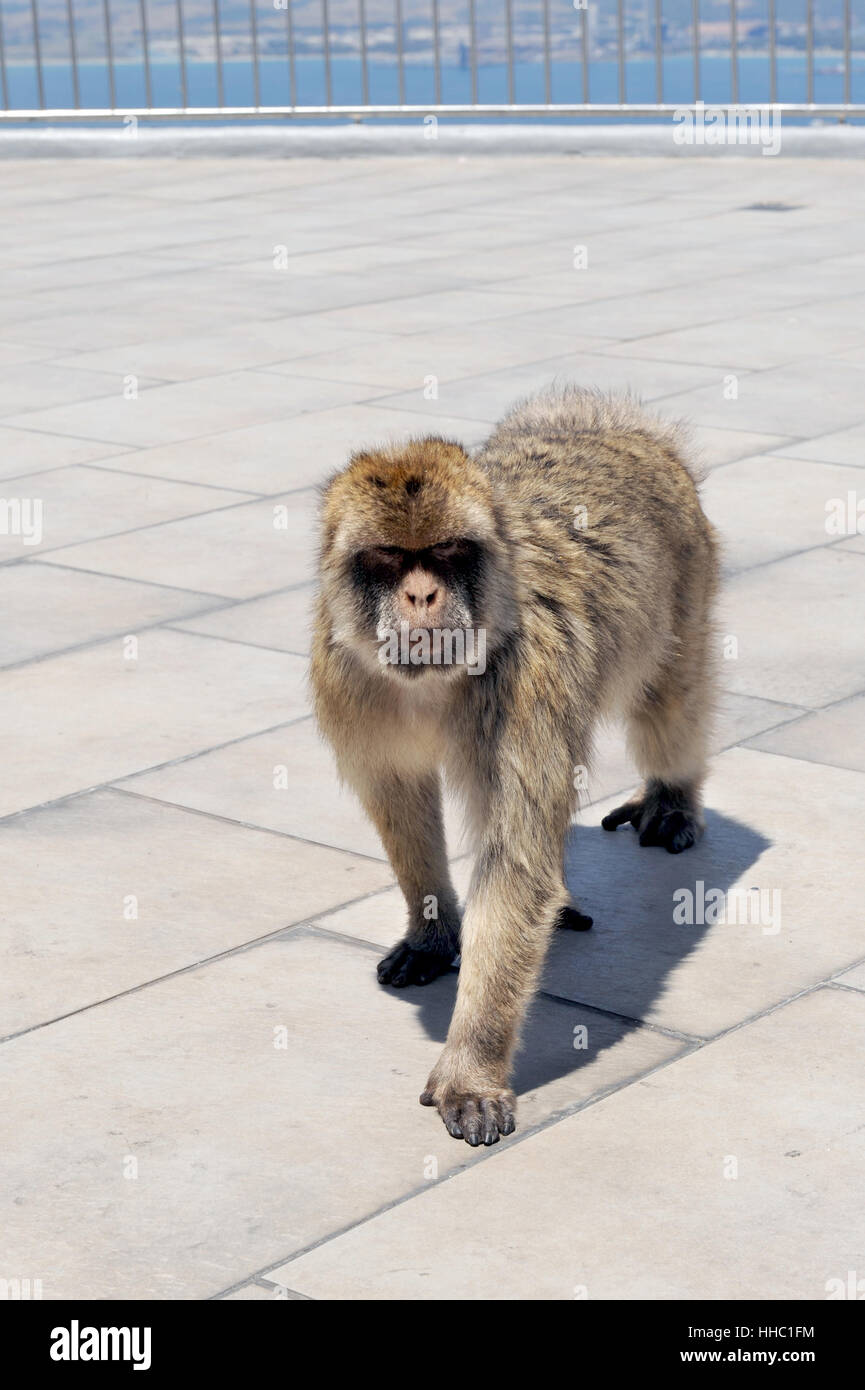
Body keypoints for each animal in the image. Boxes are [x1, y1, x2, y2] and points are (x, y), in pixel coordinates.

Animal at [311, 386, 719, 1147]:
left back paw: (672, 795)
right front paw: (433, 932)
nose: (420, 598)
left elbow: (512, 868)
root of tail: (609, 425)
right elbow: (398, 797)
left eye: (446, 552)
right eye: (387, 557)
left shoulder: (526, 681)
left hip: (686, 581)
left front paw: (470, 1069)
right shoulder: (345, 675)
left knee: (668, 702)